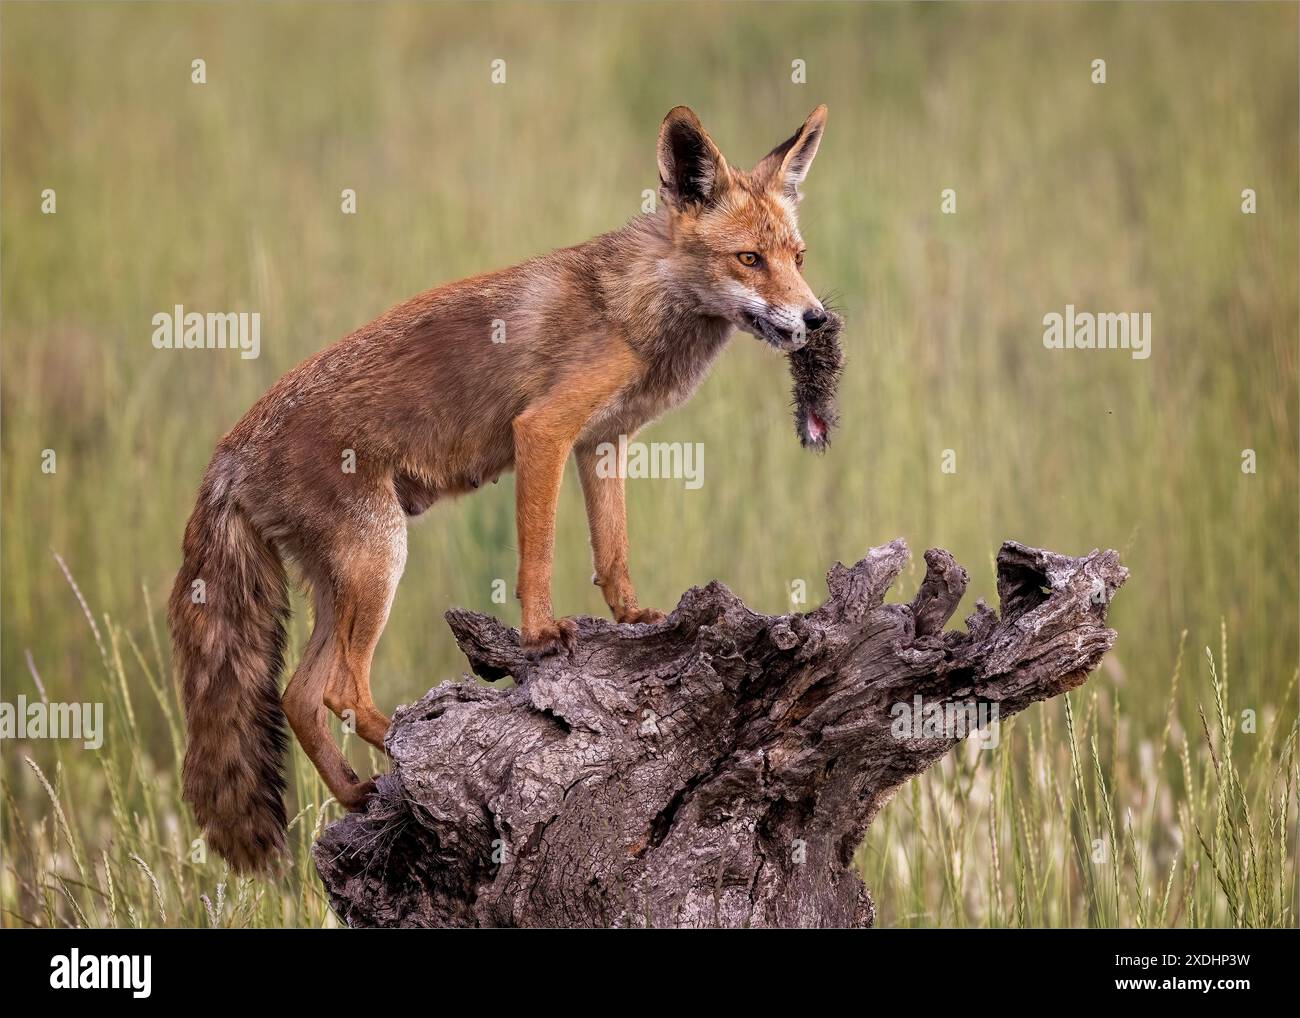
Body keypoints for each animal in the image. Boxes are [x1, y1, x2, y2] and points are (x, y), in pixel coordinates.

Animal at [169, 104, 830, 873]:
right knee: (338, 690)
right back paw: (404, 733)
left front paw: (635, 618)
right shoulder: (543, 431)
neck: (633, 303)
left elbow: (613, 553)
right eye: (749, 259)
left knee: (299, 697)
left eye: (798, 258)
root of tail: (229, 451)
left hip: (345, 582)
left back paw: (359, 794)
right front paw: (540, 635)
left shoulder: (602, 442)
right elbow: (537, 552)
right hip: (379, 562)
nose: (816, 318)